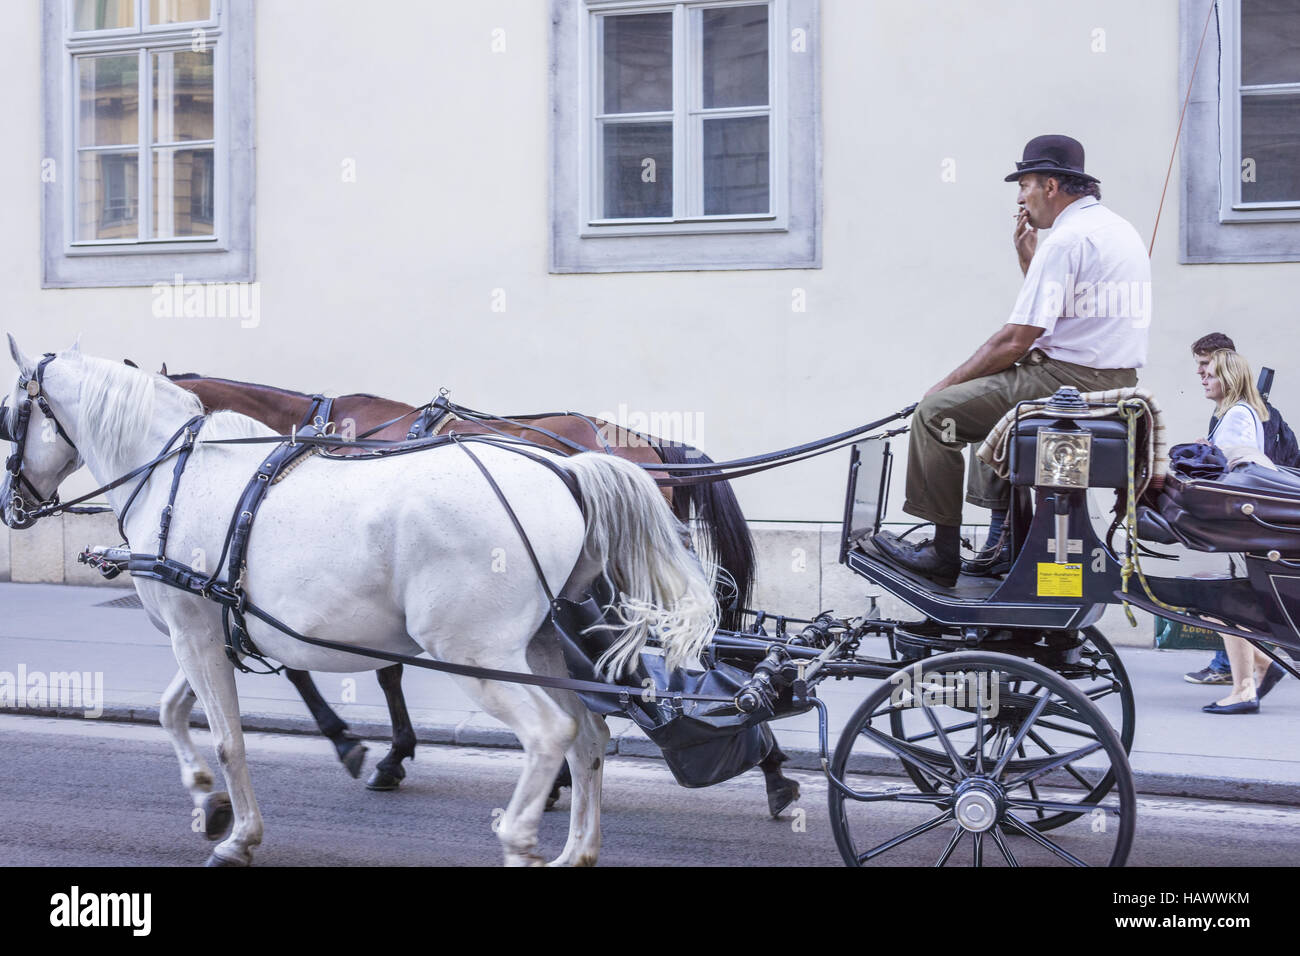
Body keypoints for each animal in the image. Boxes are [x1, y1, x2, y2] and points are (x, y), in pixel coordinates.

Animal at [4, 337, 719, 866]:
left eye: (11, 417)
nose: (13, 506)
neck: (179, 471)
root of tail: (567, 468)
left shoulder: (200, 631)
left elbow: (231, 737)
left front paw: (242, 831)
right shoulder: (209, 627)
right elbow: (172, 711)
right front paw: (209, 802)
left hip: (473, 649)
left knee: (551, 735)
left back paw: (520, 835)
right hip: (542, 639)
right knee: (588, 736)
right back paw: (577, 847)